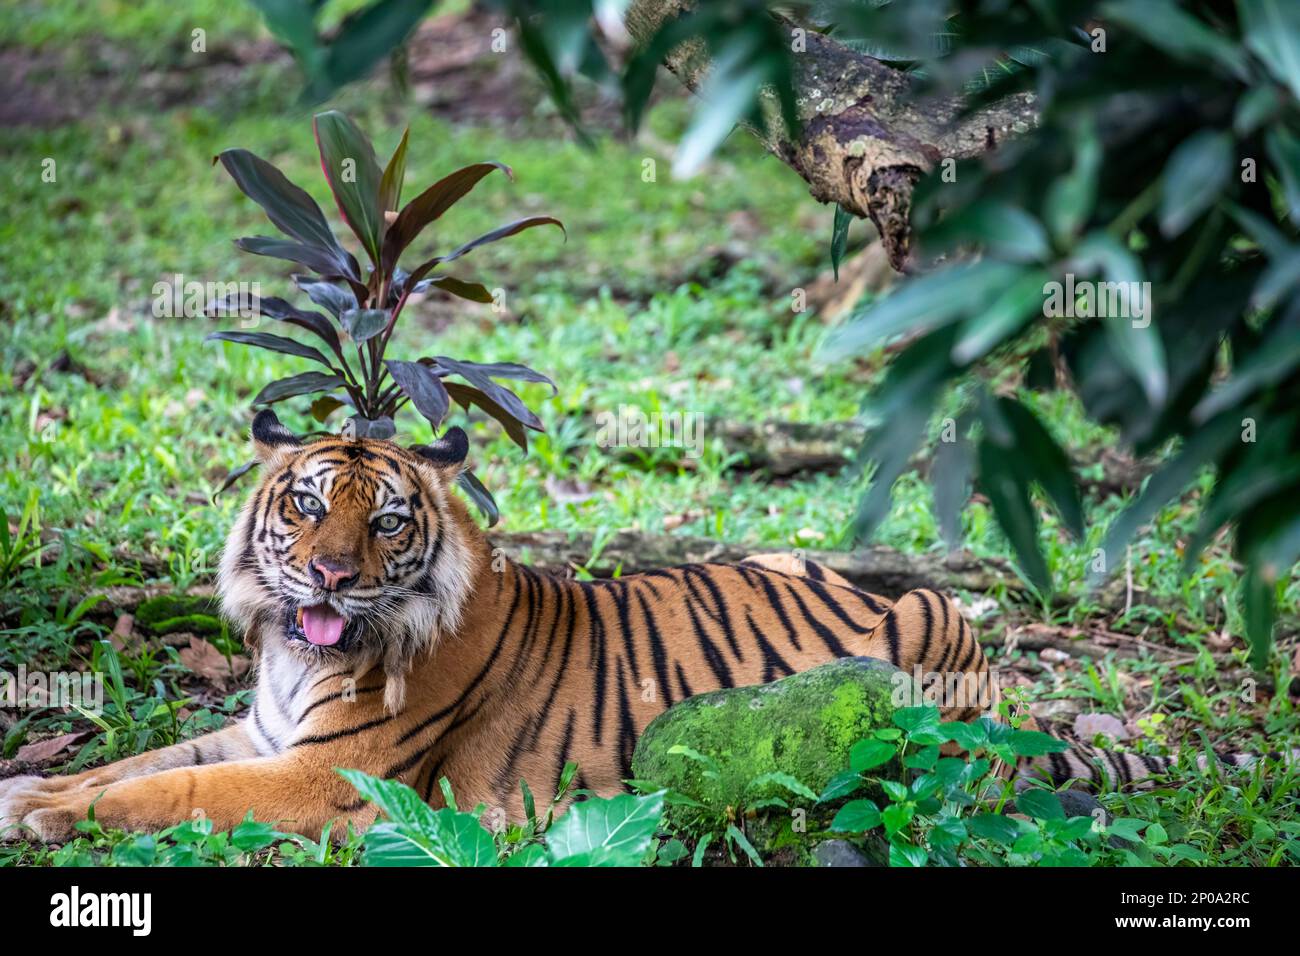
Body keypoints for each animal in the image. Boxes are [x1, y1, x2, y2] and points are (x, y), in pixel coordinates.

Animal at [0, 410, 1272, 843]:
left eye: (387, 519)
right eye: (309, 503)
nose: (327, 573)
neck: (289, 652)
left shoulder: (332, 777)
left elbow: (171, 786)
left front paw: (61, 817)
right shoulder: (262, 733)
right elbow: (143, 756)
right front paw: (30, 788)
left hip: (920, 653)